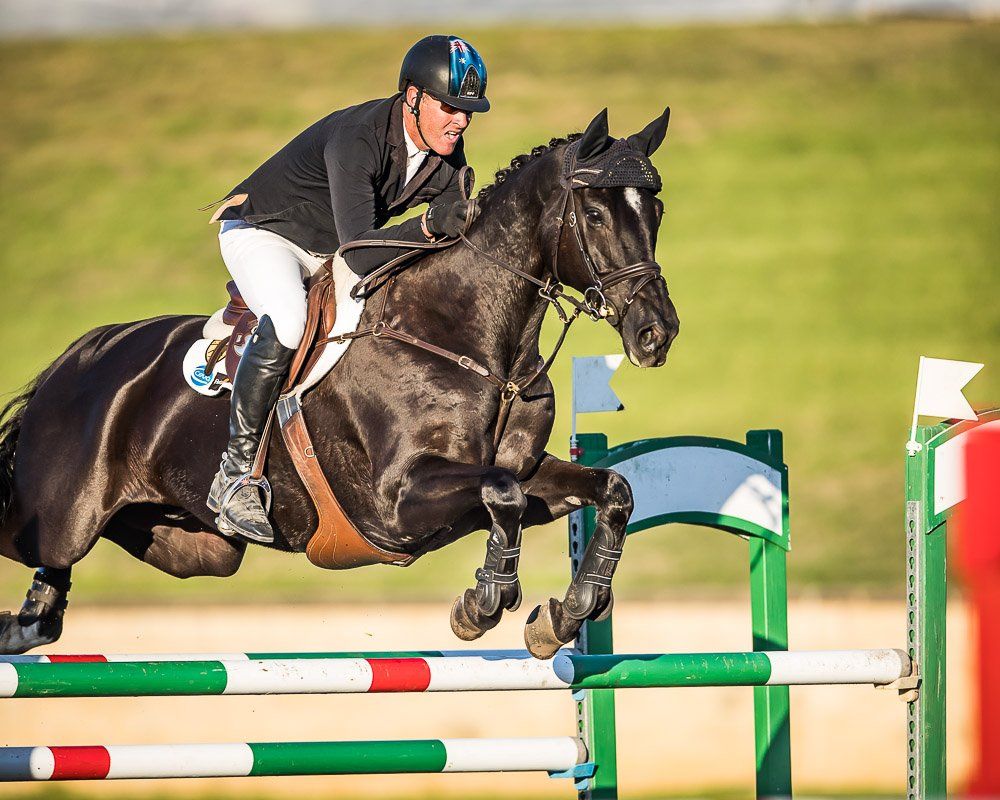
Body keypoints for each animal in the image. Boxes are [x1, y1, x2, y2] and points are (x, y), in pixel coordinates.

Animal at [0, 108, 679, 659]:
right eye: (596, 213)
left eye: (657, 211)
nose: (657, 333)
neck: (478, 344)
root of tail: (77, 357)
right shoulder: (393, 501)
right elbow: (502, 495)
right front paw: (482, 603)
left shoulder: (525, 469)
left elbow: (605, 491)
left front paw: (565, 613)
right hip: (61, 513)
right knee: (33, 544)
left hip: (191, 549)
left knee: (60, 582)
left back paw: (30, 618)